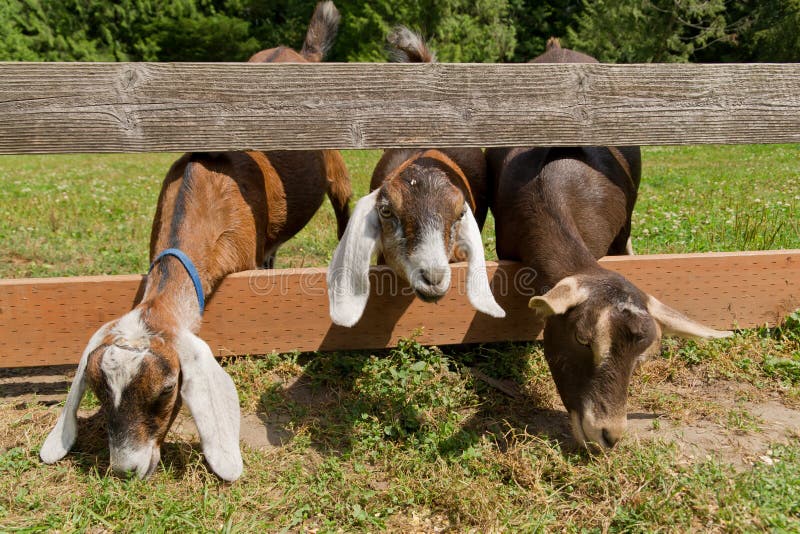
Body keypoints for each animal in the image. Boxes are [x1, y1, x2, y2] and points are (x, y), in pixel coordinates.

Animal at [40, 1, 351, 481]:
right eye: (98, 393)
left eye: (166, 390)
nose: (126, 469)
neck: (203, 193)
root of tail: (301, 54)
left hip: (334, 162)